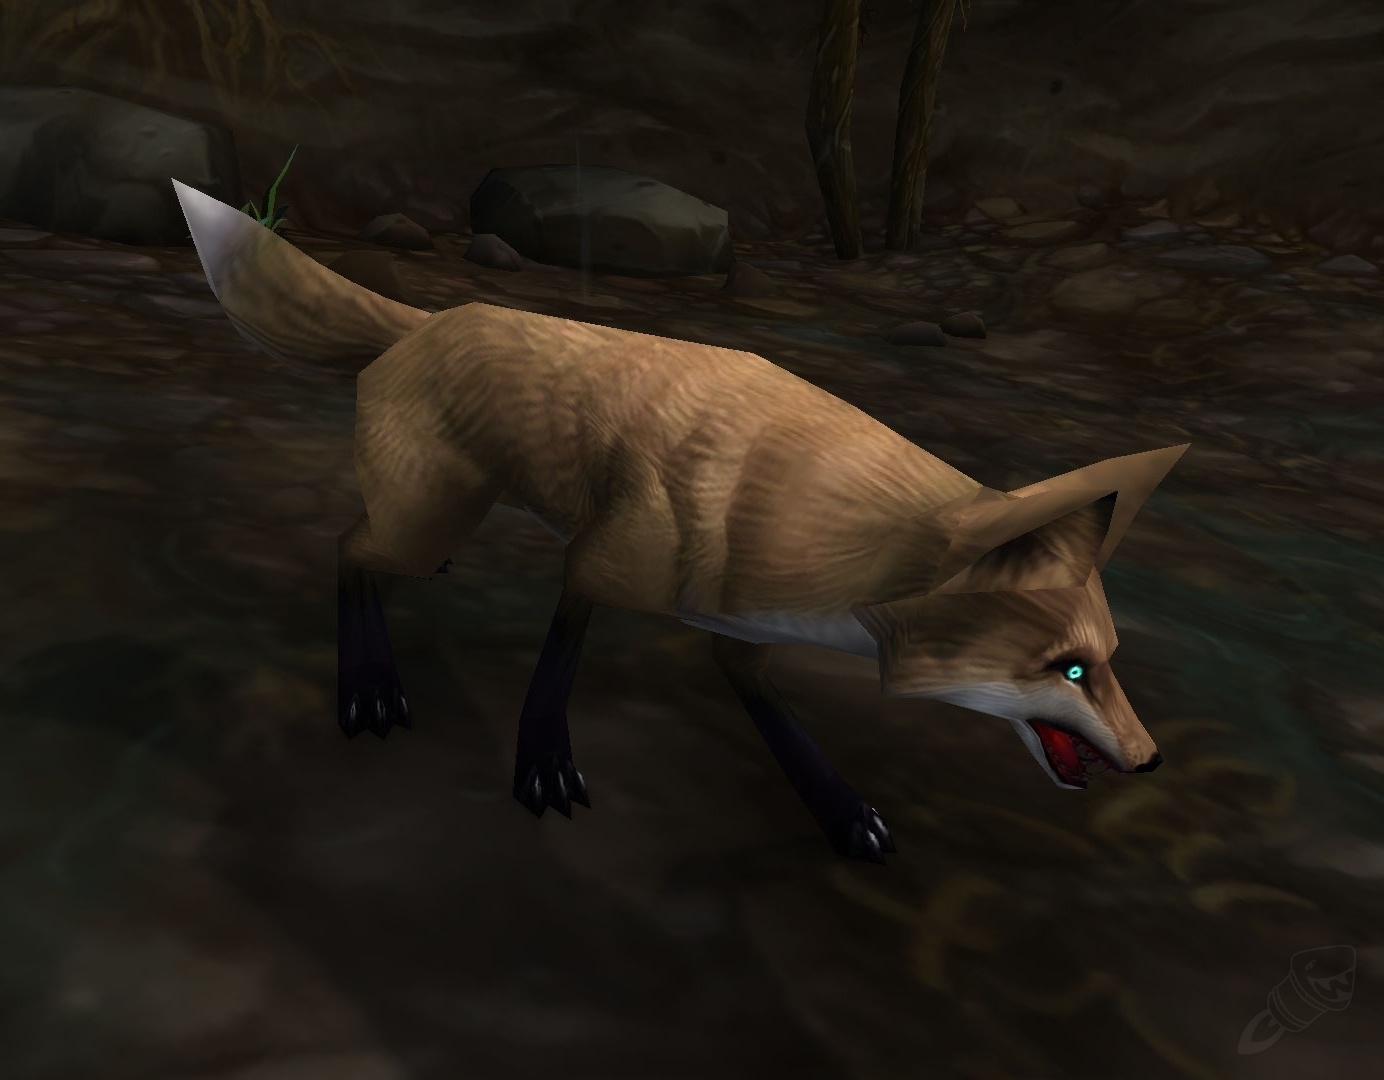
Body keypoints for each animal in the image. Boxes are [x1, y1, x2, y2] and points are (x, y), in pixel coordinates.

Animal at [173, 178, 1186, 863]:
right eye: (1069, 669)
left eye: (1109, 663)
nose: (1149, 761)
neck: (823, 529)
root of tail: (427, 319)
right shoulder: (604, 561)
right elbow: (557, 663)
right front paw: (542, 769)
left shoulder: (742, 628)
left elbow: (786, 732)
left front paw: (841, 814)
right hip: (429, 519)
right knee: (349, 548)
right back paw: (370, 689)